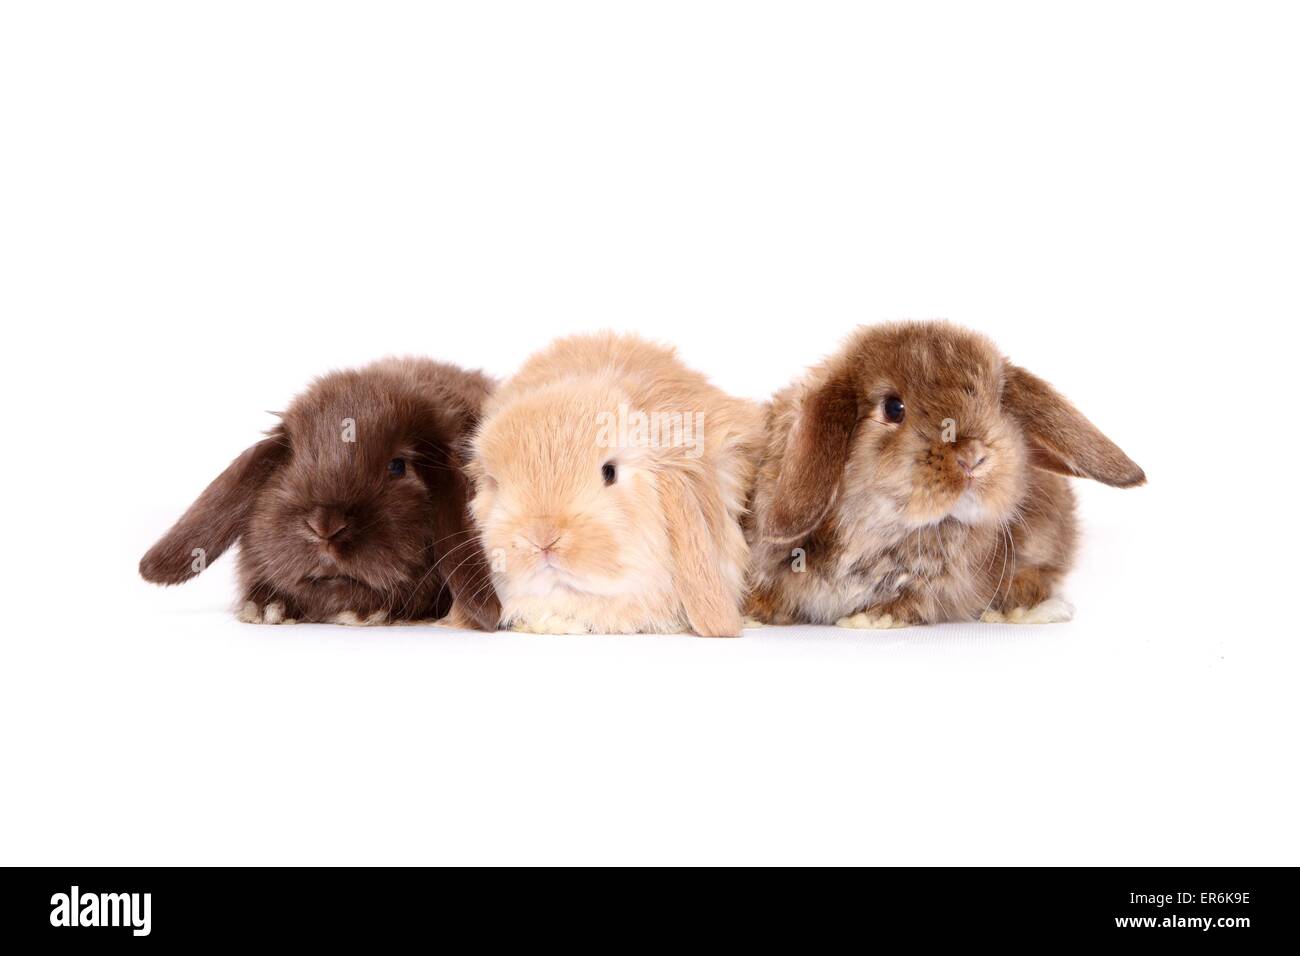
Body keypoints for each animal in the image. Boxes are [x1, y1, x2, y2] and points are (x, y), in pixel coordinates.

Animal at [744, 321, 1145, 628]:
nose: (973, 457)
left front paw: (870, 619)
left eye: (997, 403)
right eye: (893, 407)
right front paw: (752, 614)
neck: (879, 529)